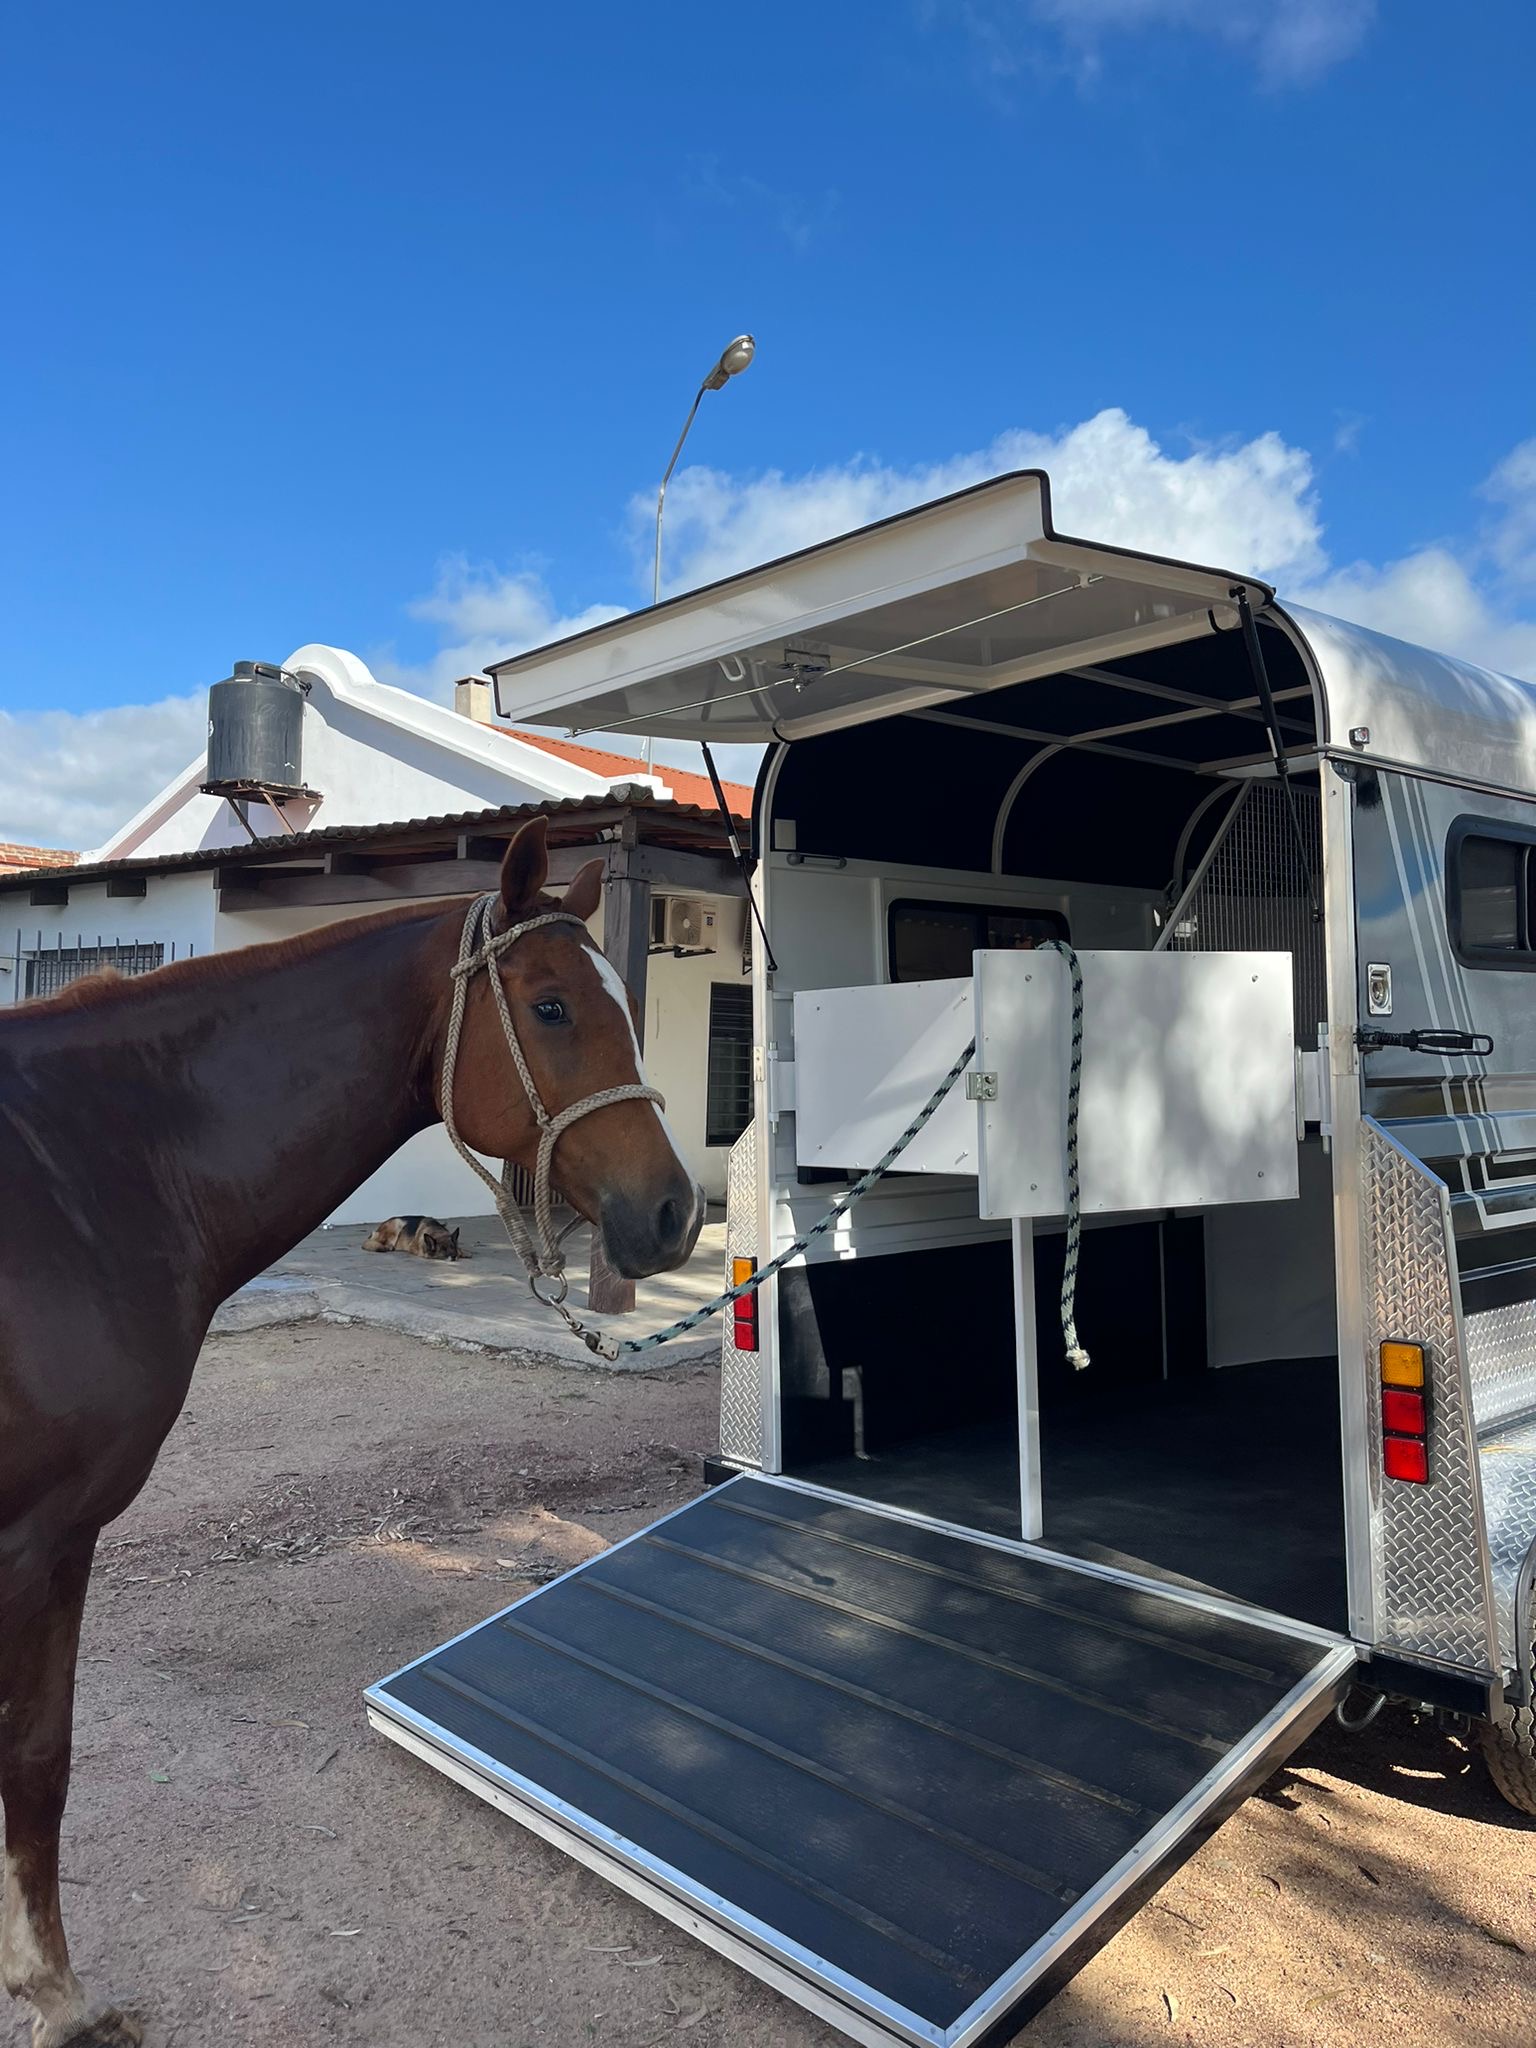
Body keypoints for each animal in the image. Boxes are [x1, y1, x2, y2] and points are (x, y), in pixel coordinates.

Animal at [0, 815, 703, 2047]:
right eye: (552, 1005)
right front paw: (58, 1998)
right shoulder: (40, 1538)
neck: (84, 1166)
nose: (676, 1215)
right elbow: (36, 1762)